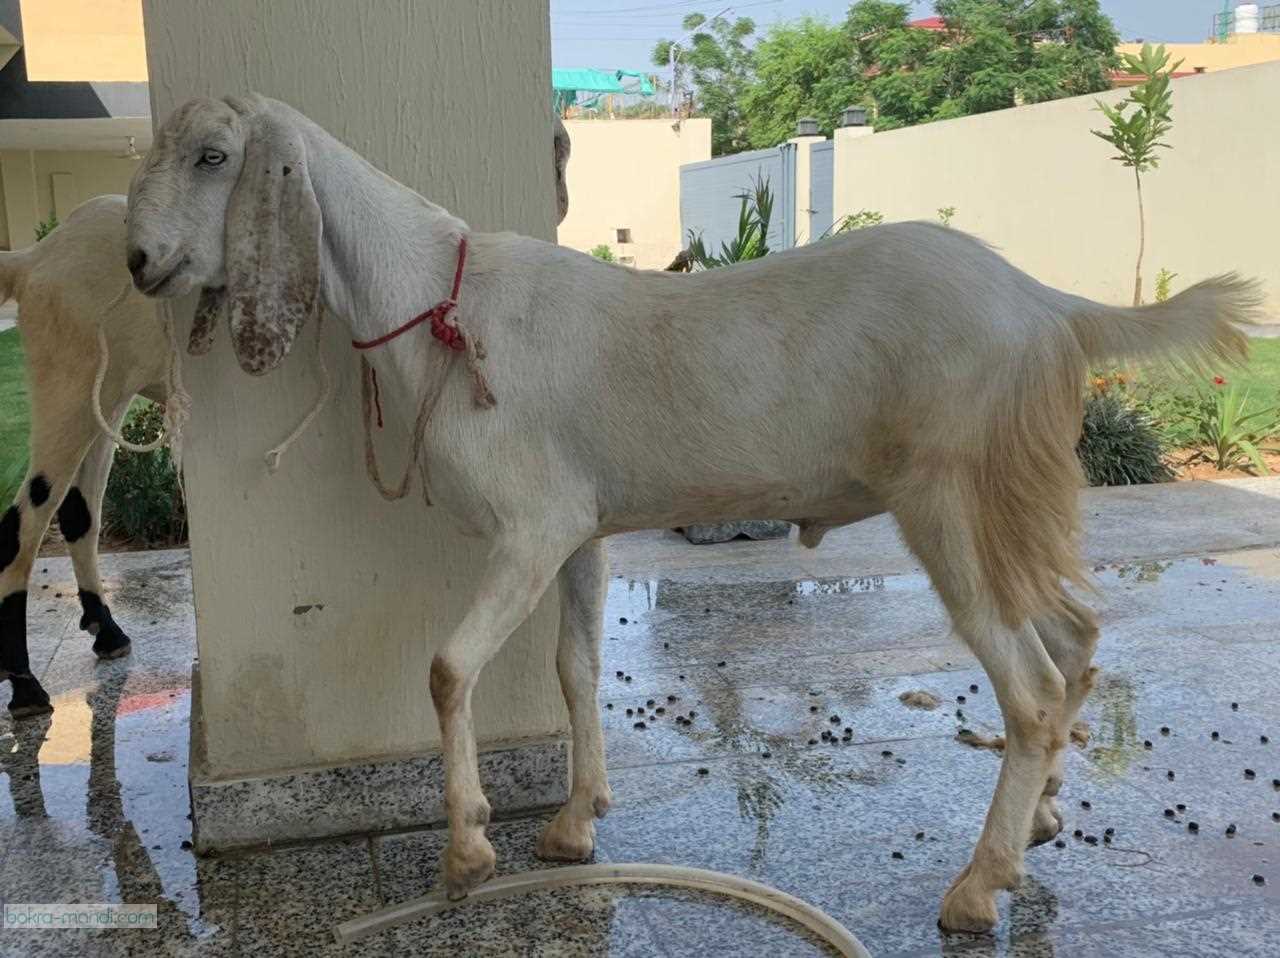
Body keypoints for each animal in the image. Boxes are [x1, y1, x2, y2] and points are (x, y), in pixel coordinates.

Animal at [0, 196, 167, 717]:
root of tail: (34, 260)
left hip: (105, 398)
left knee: (78, 513)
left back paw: (106, 629)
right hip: (67, 393)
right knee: (23, 524)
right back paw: (25, 685)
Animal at [126, 94, 1257, 933]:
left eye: (215, 155)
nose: (139, 264)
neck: (443, 307)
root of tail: (1049, 305)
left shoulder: (529, 529)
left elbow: (448, 669)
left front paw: (470, 850)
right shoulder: (579, 532)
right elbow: (574, 668)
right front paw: (574, 826)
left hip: (950, 502)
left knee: (1030, 684)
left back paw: (976, 888)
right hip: (1005, 503)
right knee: (1074, 633)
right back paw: (1042, 824)